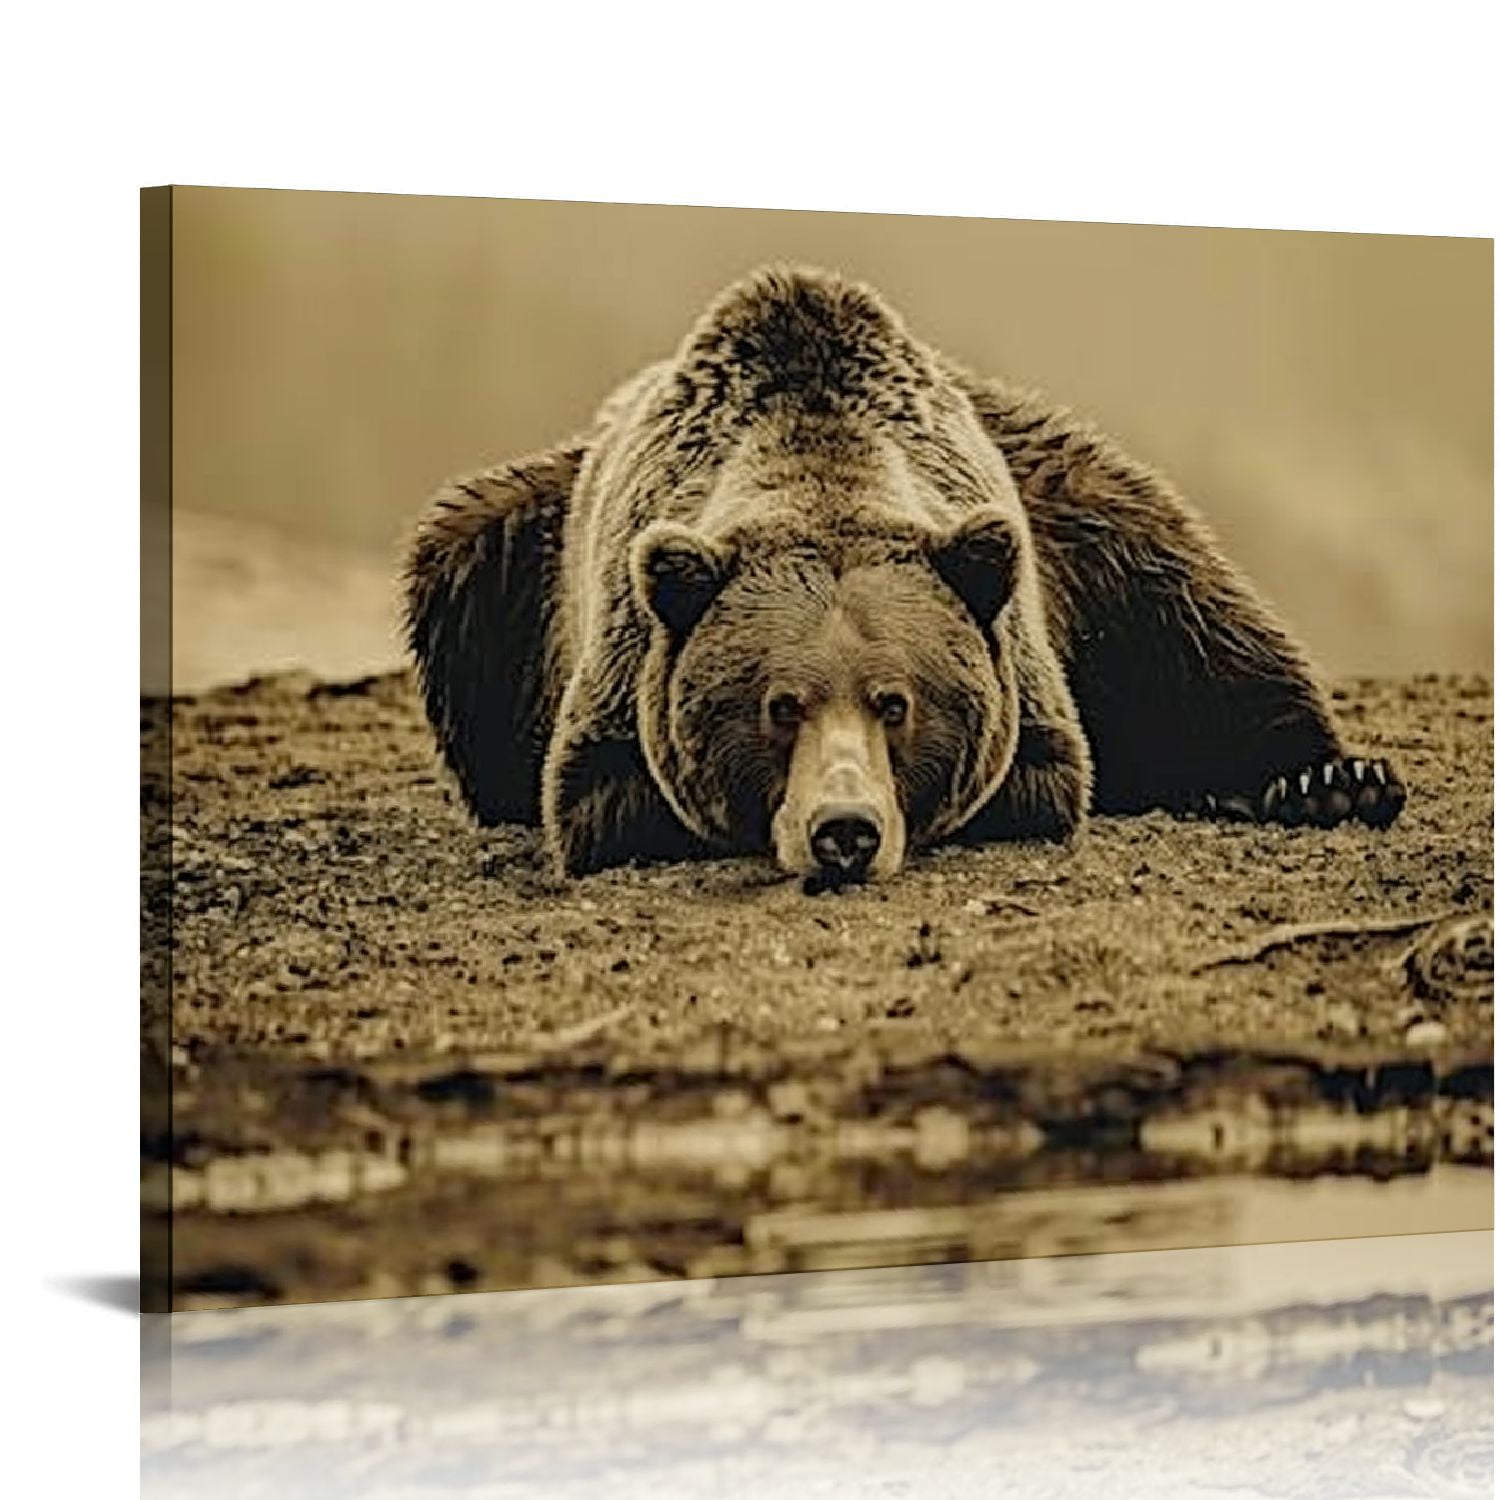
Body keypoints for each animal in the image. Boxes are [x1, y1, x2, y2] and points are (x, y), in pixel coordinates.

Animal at [404, 264, 1405, 885]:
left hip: (1080, 504)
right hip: (501, 561)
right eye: (777, 705)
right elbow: (604, 795)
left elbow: (1041, 770)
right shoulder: (618, 662)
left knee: (1195, 617)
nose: (843, 828)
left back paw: (1329, 781)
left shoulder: (1023, 657)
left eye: (899, 701)